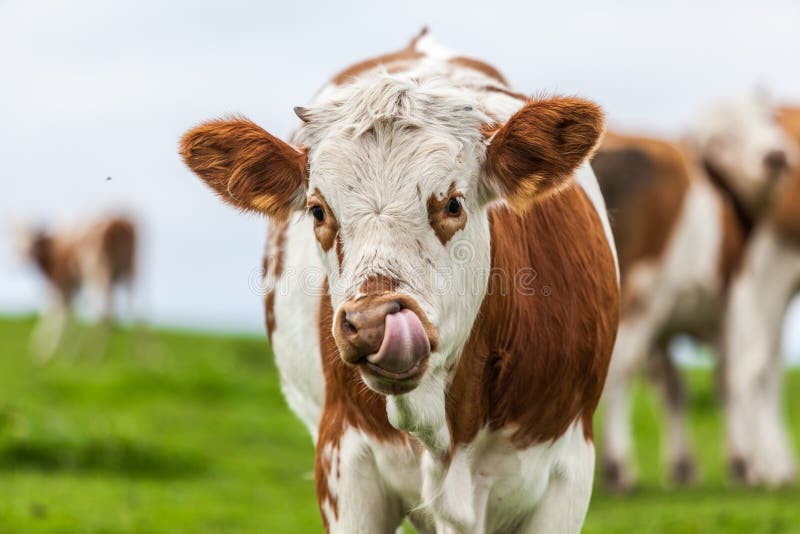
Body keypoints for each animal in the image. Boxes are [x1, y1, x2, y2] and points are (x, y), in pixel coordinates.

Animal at [13, 215, 137, 360]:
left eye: (33, 238)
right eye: (18, 237)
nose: (23, 253)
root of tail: (118, 223)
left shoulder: (61, 284)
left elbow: (56, 313)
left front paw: (46, 352)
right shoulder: (73, 287)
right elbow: (68, 313)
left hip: (97, 273)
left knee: (103, 310)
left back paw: (95, 353)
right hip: (128, 269)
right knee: (131, 306)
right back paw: (139, 355)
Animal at [593, 93, 798, 491]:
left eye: (766, 119)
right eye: (723, 139)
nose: (776, 157)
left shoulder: (668, 329)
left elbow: (674, 388)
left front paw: (683, 468)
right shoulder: (738, 297)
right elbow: (734, 376)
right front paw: (744, 465)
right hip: (641, 297)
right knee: (620, 368)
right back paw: (617, 467)